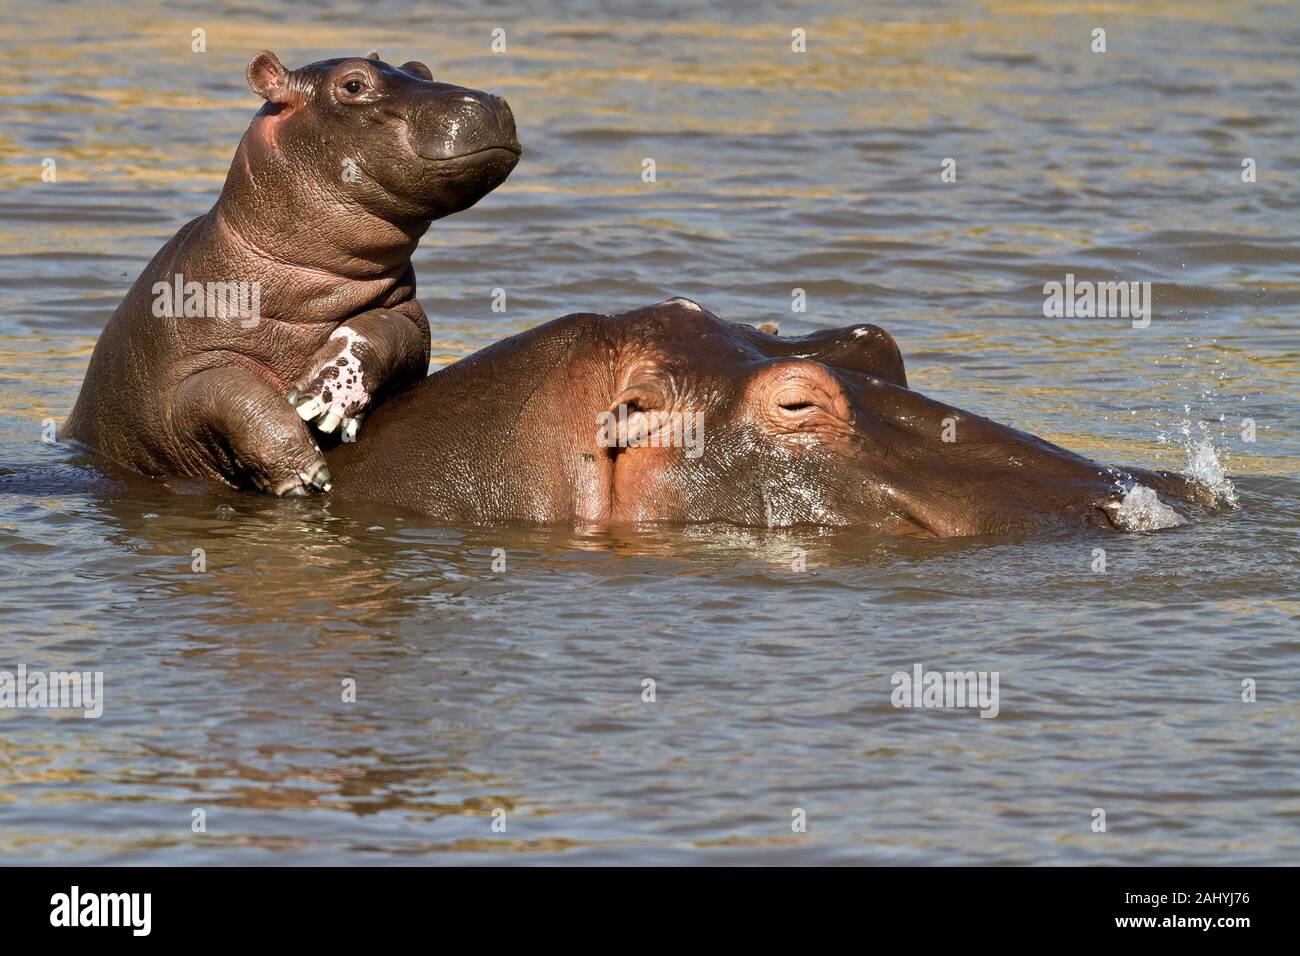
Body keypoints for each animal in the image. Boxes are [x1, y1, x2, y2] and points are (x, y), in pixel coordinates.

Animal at [65, 51, 520, 495]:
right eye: (353, 83)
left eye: (421, 69)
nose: (488, 101)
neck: (312, 286)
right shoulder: (173, 389)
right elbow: (229, 394)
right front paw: (305, 474)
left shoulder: (410, 319)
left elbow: (387, 329)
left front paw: (325, 396)